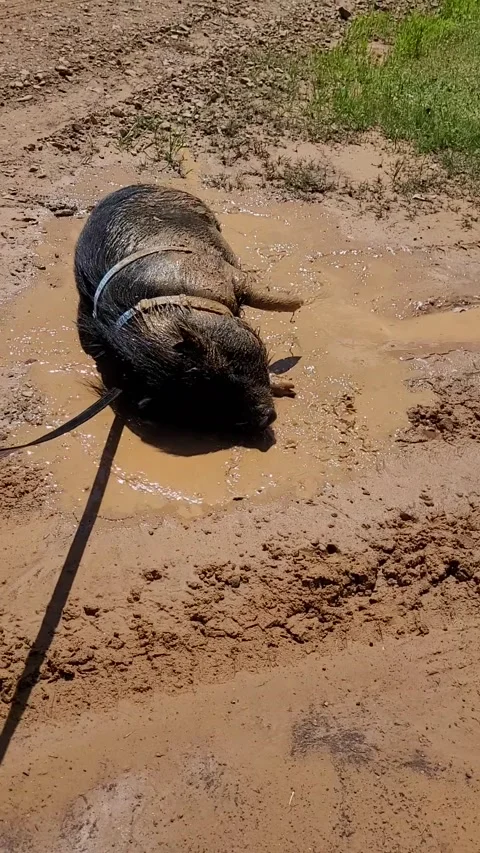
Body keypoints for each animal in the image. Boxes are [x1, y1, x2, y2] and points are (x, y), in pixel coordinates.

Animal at [74, 184, 303, 433]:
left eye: (232, 370)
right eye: (204, 407)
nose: (266, 418)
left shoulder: (219, 273)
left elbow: (262, 295)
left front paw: (301, 300)